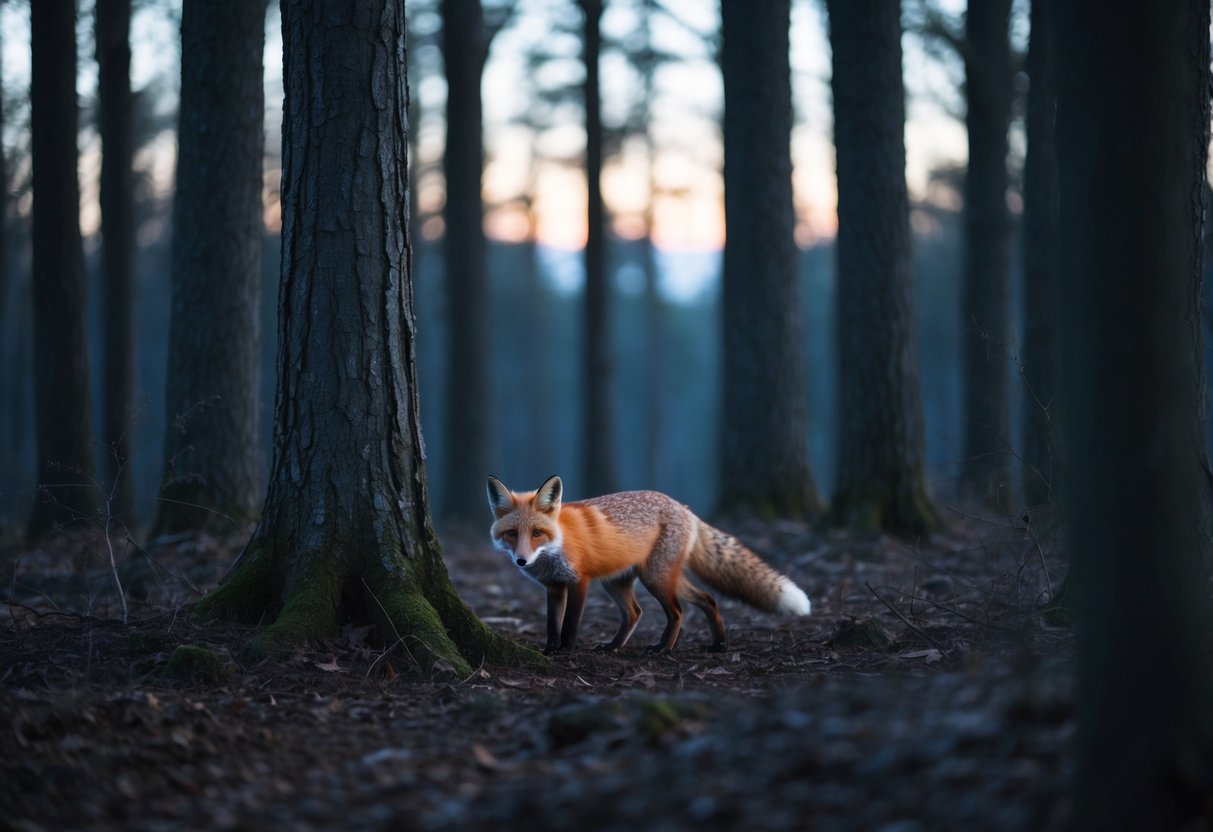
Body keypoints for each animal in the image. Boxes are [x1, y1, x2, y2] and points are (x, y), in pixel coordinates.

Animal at [487, 475, 811, 654]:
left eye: (537, 533)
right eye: (512, 533)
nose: (521, 560)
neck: (558, 543)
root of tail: (684, 507)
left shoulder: (580, 581)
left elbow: (570, 625)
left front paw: (565, 651)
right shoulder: (555, 587)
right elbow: (552, 625)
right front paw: (549, 651)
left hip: (655, 578)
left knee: (678, 611)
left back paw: (662, 649)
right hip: (627, 581)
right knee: (681, 604)